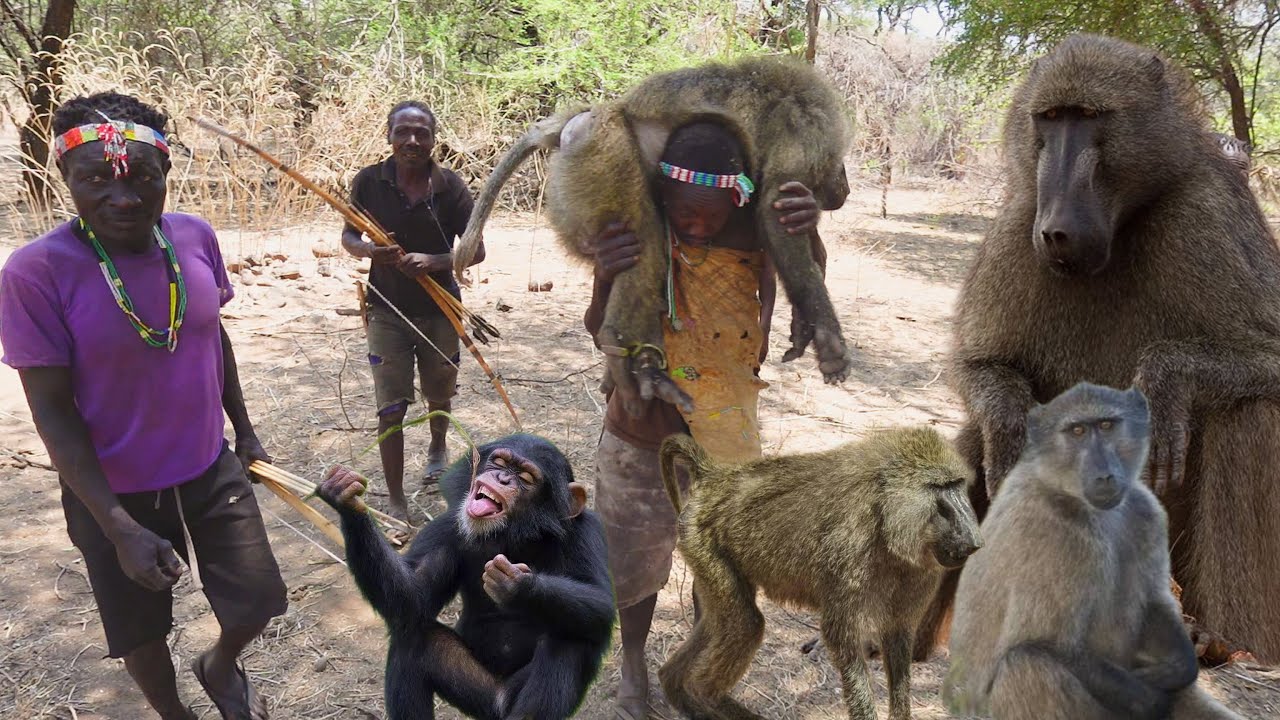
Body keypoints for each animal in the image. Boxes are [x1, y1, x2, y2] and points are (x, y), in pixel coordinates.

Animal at [450, 56, 853, 416]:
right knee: (646, 242)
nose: (844, 189)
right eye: (838, 171)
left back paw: (642, 368)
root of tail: (590, 114)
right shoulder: (803, 133)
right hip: (603, 150)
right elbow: (775, 215)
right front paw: (828, 339)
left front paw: (804, 325)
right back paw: (621, 346)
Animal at [656, 427, 982, 720]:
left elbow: (897, 636)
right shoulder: (849, 553)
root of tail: (716, 477)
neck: (886, 522)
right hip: (701, 541)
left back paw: (674, 685)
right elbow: (842, 640)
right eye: (941, 488)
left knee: (720, 622)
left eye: (958, 485)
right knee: (745, 625)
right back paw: (705, 698)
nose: (974, 541)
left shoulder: (920, 573)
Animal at [912, 33, 1280, 665]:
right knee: (976, 439)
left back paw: (1224, 639)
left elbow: (1268, 356)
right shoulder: (1017, 224)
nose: (1057, 230)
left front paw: (1166, 382)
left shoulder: (1211, 213)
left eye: (1088, 117)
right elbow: (981, 367)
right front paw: (1011, 424)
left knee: (1248, 411)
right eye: (1050, 119)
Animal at [943, 382, 1243, 720]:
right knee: (1026, 664)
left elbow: (1154, 599)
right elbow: (1049, 643)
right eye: (1077, 431)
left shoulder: (1146, 511)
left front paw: (1180, 666)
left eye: (1106, 425)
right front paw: (1153, 700)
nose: (1105, 475)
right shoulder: (1061, 540)